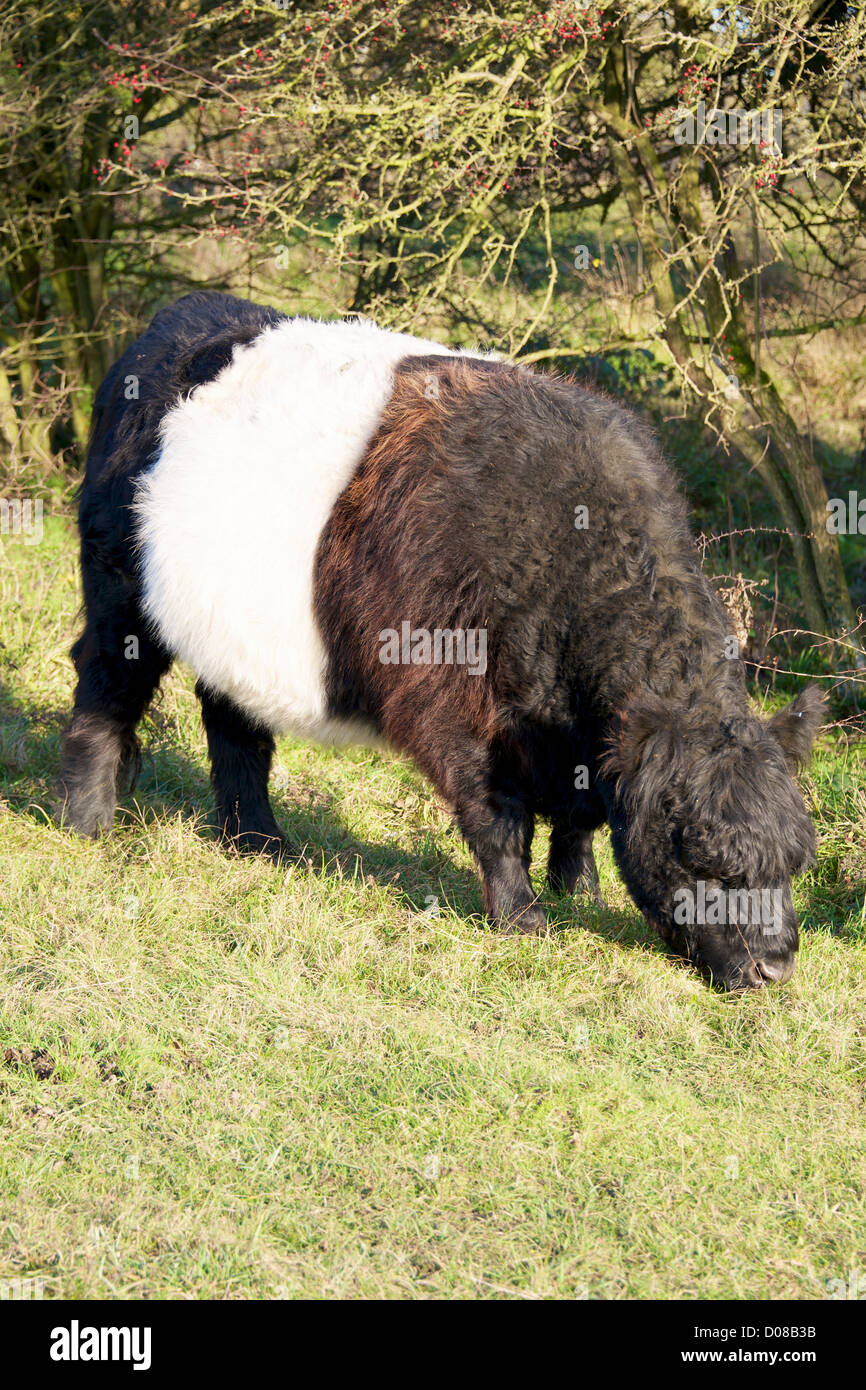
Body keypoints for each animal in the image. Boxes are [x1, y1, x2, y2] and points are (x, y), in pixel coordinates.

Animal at [58, 291, 824, 990]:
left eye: (794, 862)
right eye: (701, 857)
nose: (774, 970)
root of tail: (178, 315)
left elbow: (580, 818)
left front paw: (579, 890)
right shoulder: (450, 702)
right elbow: (496, 816)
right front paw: (523, 918)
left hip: (232, 626)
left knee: (233, 723)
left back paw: (260, 843)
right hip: (119, 593)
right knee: (104, 690)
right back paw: (88, 822)